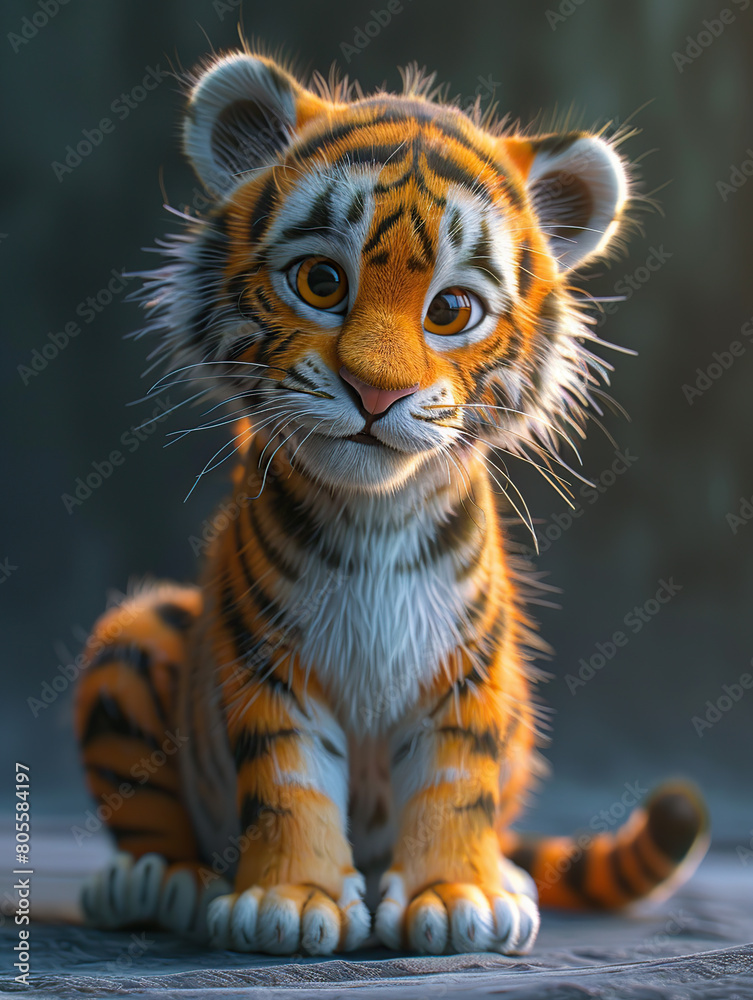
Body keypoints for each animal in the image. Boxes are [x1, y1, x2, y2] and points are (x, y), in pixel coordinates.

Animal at [74, 49, 710, 957]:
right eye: (320, 281)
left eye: (450, 309)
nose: (375, 393)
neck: (376, 514)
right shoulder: (268, 659)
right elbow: (289, 776)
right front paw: (291, 901)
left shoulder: (469, 664)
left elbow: (454, 780)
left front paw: (455, 896)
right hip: (137, 632)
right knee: (151, 826)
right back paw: (156, 882)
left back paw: (506, 875)